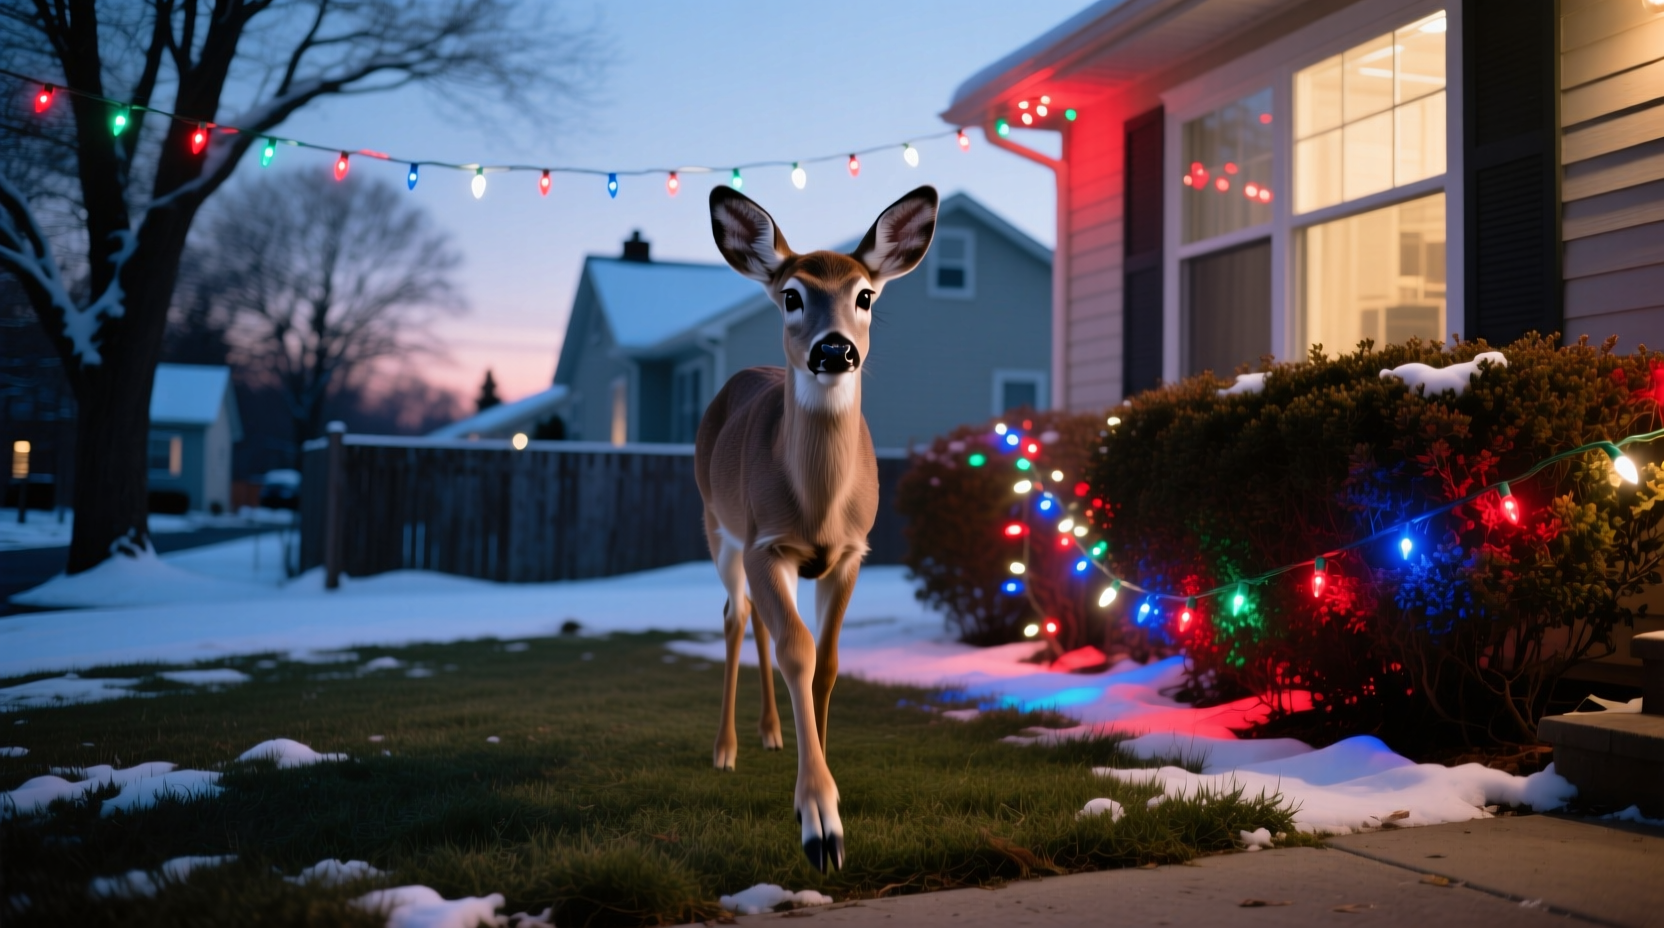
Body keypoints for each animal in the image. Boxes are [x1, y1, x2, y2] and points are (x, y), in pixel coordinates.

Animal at [697, 185, 938, 872]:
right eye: (792, 295)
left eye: (865, 295)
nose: (834, 350)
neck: (818, 507)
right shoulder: (765, 544)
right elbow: (798, 653)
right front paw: (819, 822)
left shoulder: (849, 554)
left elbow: (825, 662)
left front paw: (820, 785)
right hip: (718, 526)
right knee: (737, 618)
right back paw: (726, 750)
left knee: (761, 626)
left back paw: (773, 735)